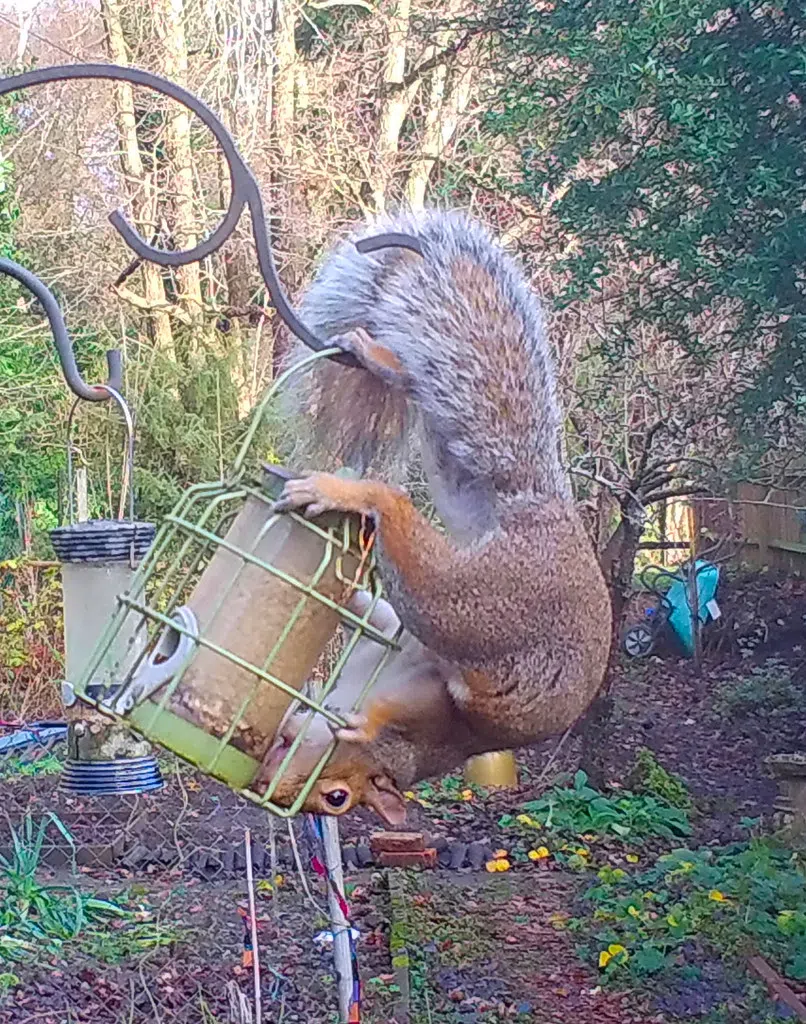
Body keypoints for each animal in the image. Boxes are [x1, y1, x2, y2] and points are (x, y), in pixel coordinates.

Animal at [257, 209, 612, 825]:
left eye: (337, 798)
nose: (266, 781)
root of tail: (546, 516)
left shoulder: (428, 704)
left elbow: (391, 713)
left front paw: (358, 725)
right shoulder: (389, 636)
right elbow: (373, 614)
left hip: (465, 605)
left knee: (395, 509)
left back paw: (343, 491)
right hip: (454, 472)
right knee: (425, 395)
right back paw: (382, 363)